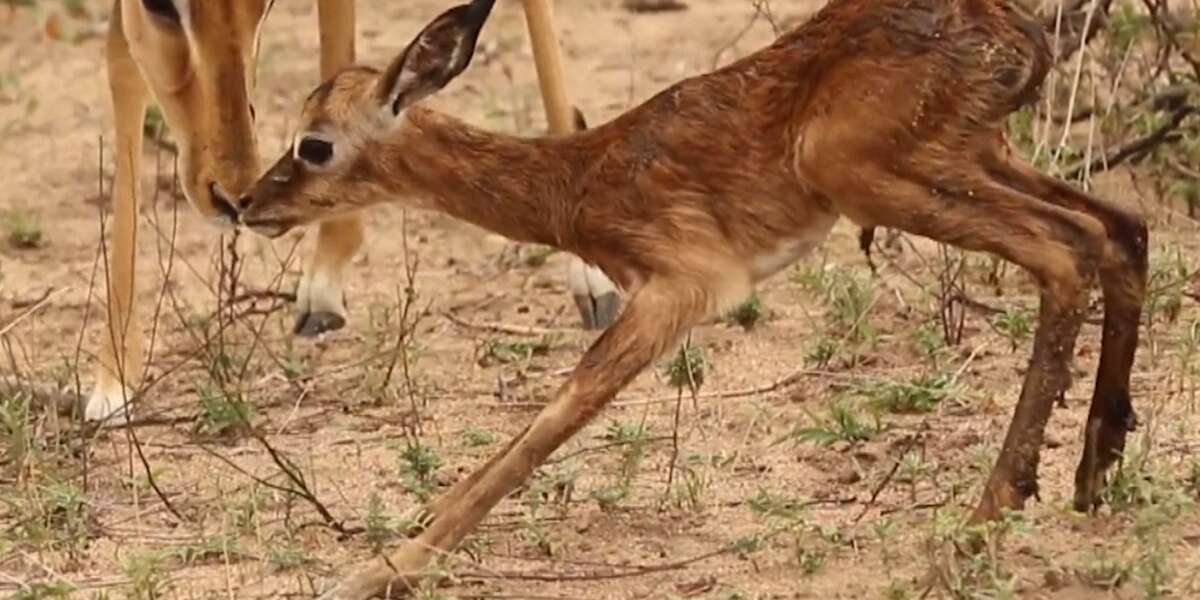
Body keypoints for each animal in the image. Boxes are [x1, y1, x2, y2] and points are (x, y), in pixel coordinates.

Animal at [87, 0, 620, 423]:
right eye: (158, 3)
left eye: (266, 2)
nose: (232, 196)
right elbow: (121, 60)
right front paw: (112, 382)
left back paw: (593, 282)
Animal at [239, 0, 1148, 596]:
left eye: (313, 145)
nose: (247, 202)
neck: (579, 181)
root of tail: (1018, 32)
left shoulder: (678, 290)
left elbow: (549, 420)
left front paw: (380, 568)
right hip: (973, 157)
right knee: (1120, 228)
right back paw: (1091, 473)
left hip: (886, 176)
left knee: (1067, 251)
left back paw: (985, 519)